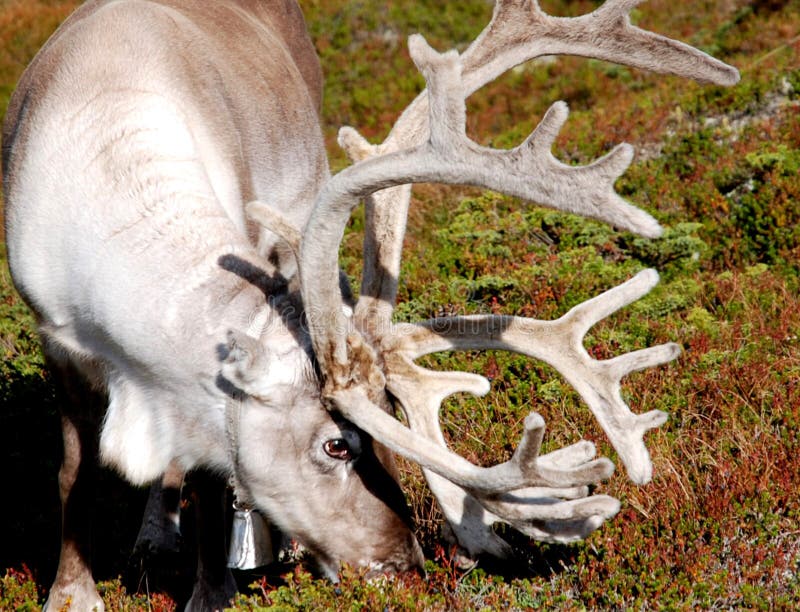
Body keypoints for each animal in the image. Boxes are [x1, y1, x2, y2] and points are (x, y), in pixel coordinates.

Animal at [2, 0, 738, 610]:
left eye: (385, 422)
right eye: (337, 444)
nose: (406, 564)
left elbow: (208, 482)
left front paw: (209, 594)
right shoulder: (55, 336)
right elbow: (74, 474)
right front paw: (73, 595)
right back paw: (157, 534)